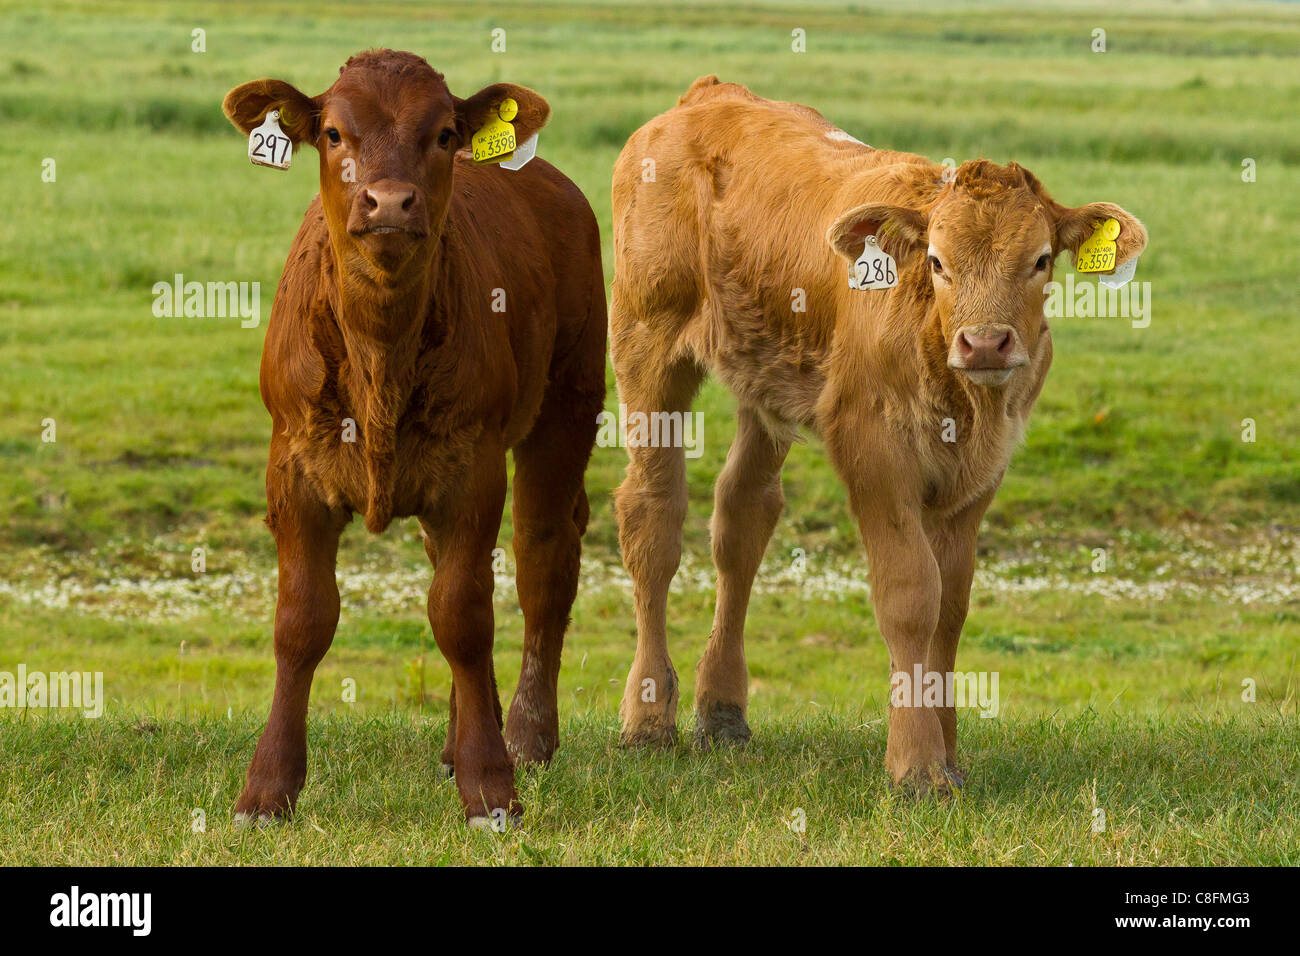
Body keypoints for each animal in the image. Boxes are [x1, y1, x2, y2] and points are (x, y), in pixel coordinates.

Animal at [221, 50, 606, 827]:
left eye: (444, 134)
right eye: (333, 133)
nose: (391, 202)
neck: (380, 352)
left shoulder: (473, 470)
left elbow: (462, 615)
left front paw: (490, 788)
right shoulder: (293, 471)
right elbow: (301, 620)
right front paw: (267, 789)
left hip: (567, 408)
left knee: (543, 561)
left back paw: (526, 735)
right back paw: (461, 739)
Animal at [610, 77, 1146, 792]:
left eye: (1039, 260)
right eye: (939, 261)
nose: (985, 343)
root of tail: (709, 96)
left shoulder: (980, 474)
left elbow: (951, 605)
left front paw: (948, 753)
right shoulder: (874, 454)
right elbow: (911, 594)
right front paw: (917, 765)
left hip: (765, 382)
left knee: (742, 518)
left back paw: (722, 711)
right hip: (648, 348)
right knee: (653, 515)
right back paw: (647, 719)